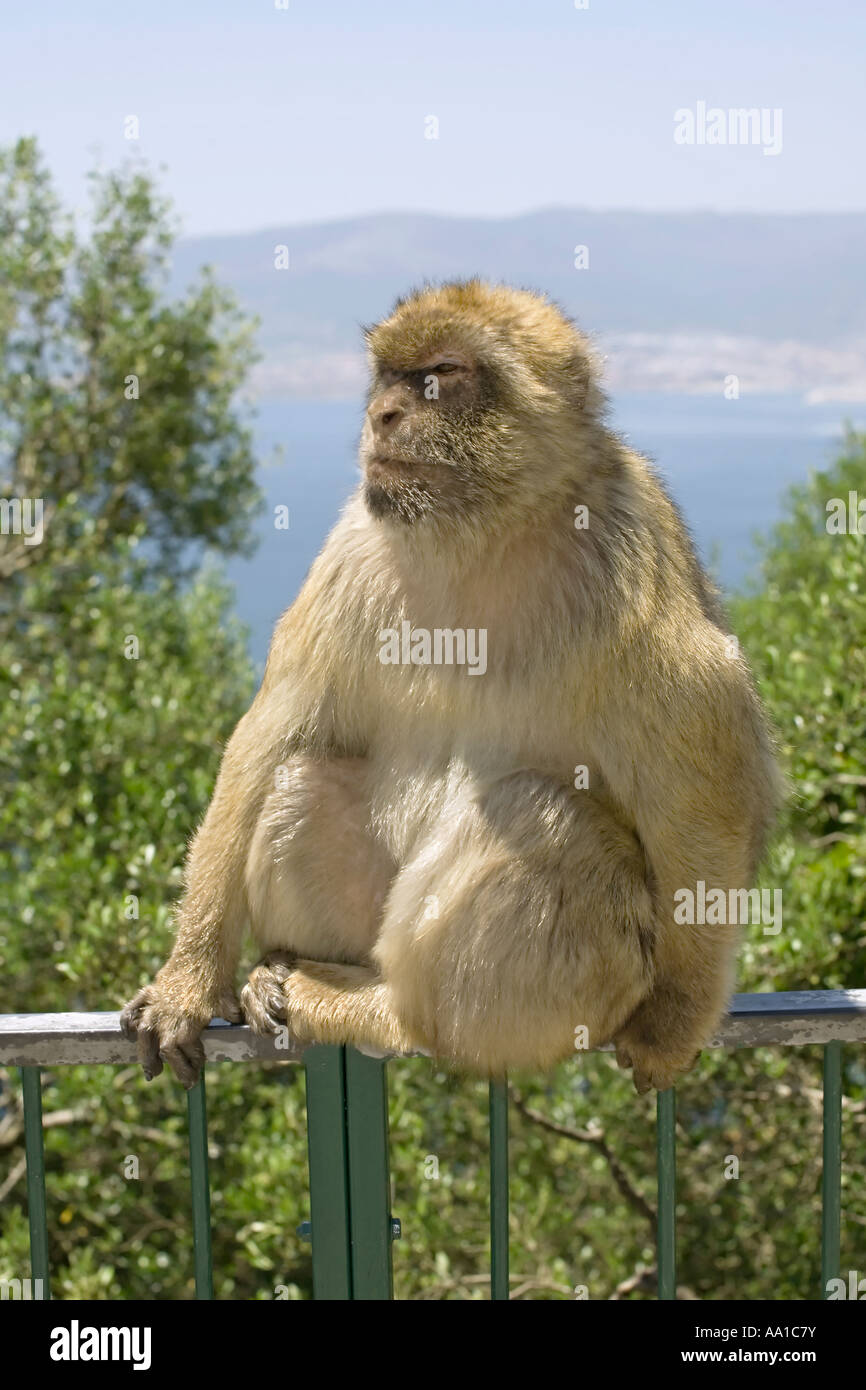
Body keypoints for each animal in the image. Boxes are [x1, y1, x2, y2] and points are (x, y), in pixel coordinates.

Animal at [121, 279, 781, 1094]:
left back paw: (387, 1014)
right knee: (300, 774)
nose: (382, 414)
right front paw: (186, 983)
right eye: (386, 377)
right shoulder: (352, 549)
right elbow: (270, 737)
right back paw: (285, 968)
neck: (482, 533)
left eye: (440, 374)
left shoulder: (627, 549)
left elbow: (703, 777)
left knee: (544, 820)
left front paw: (677, 1019)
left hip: (589, 984)